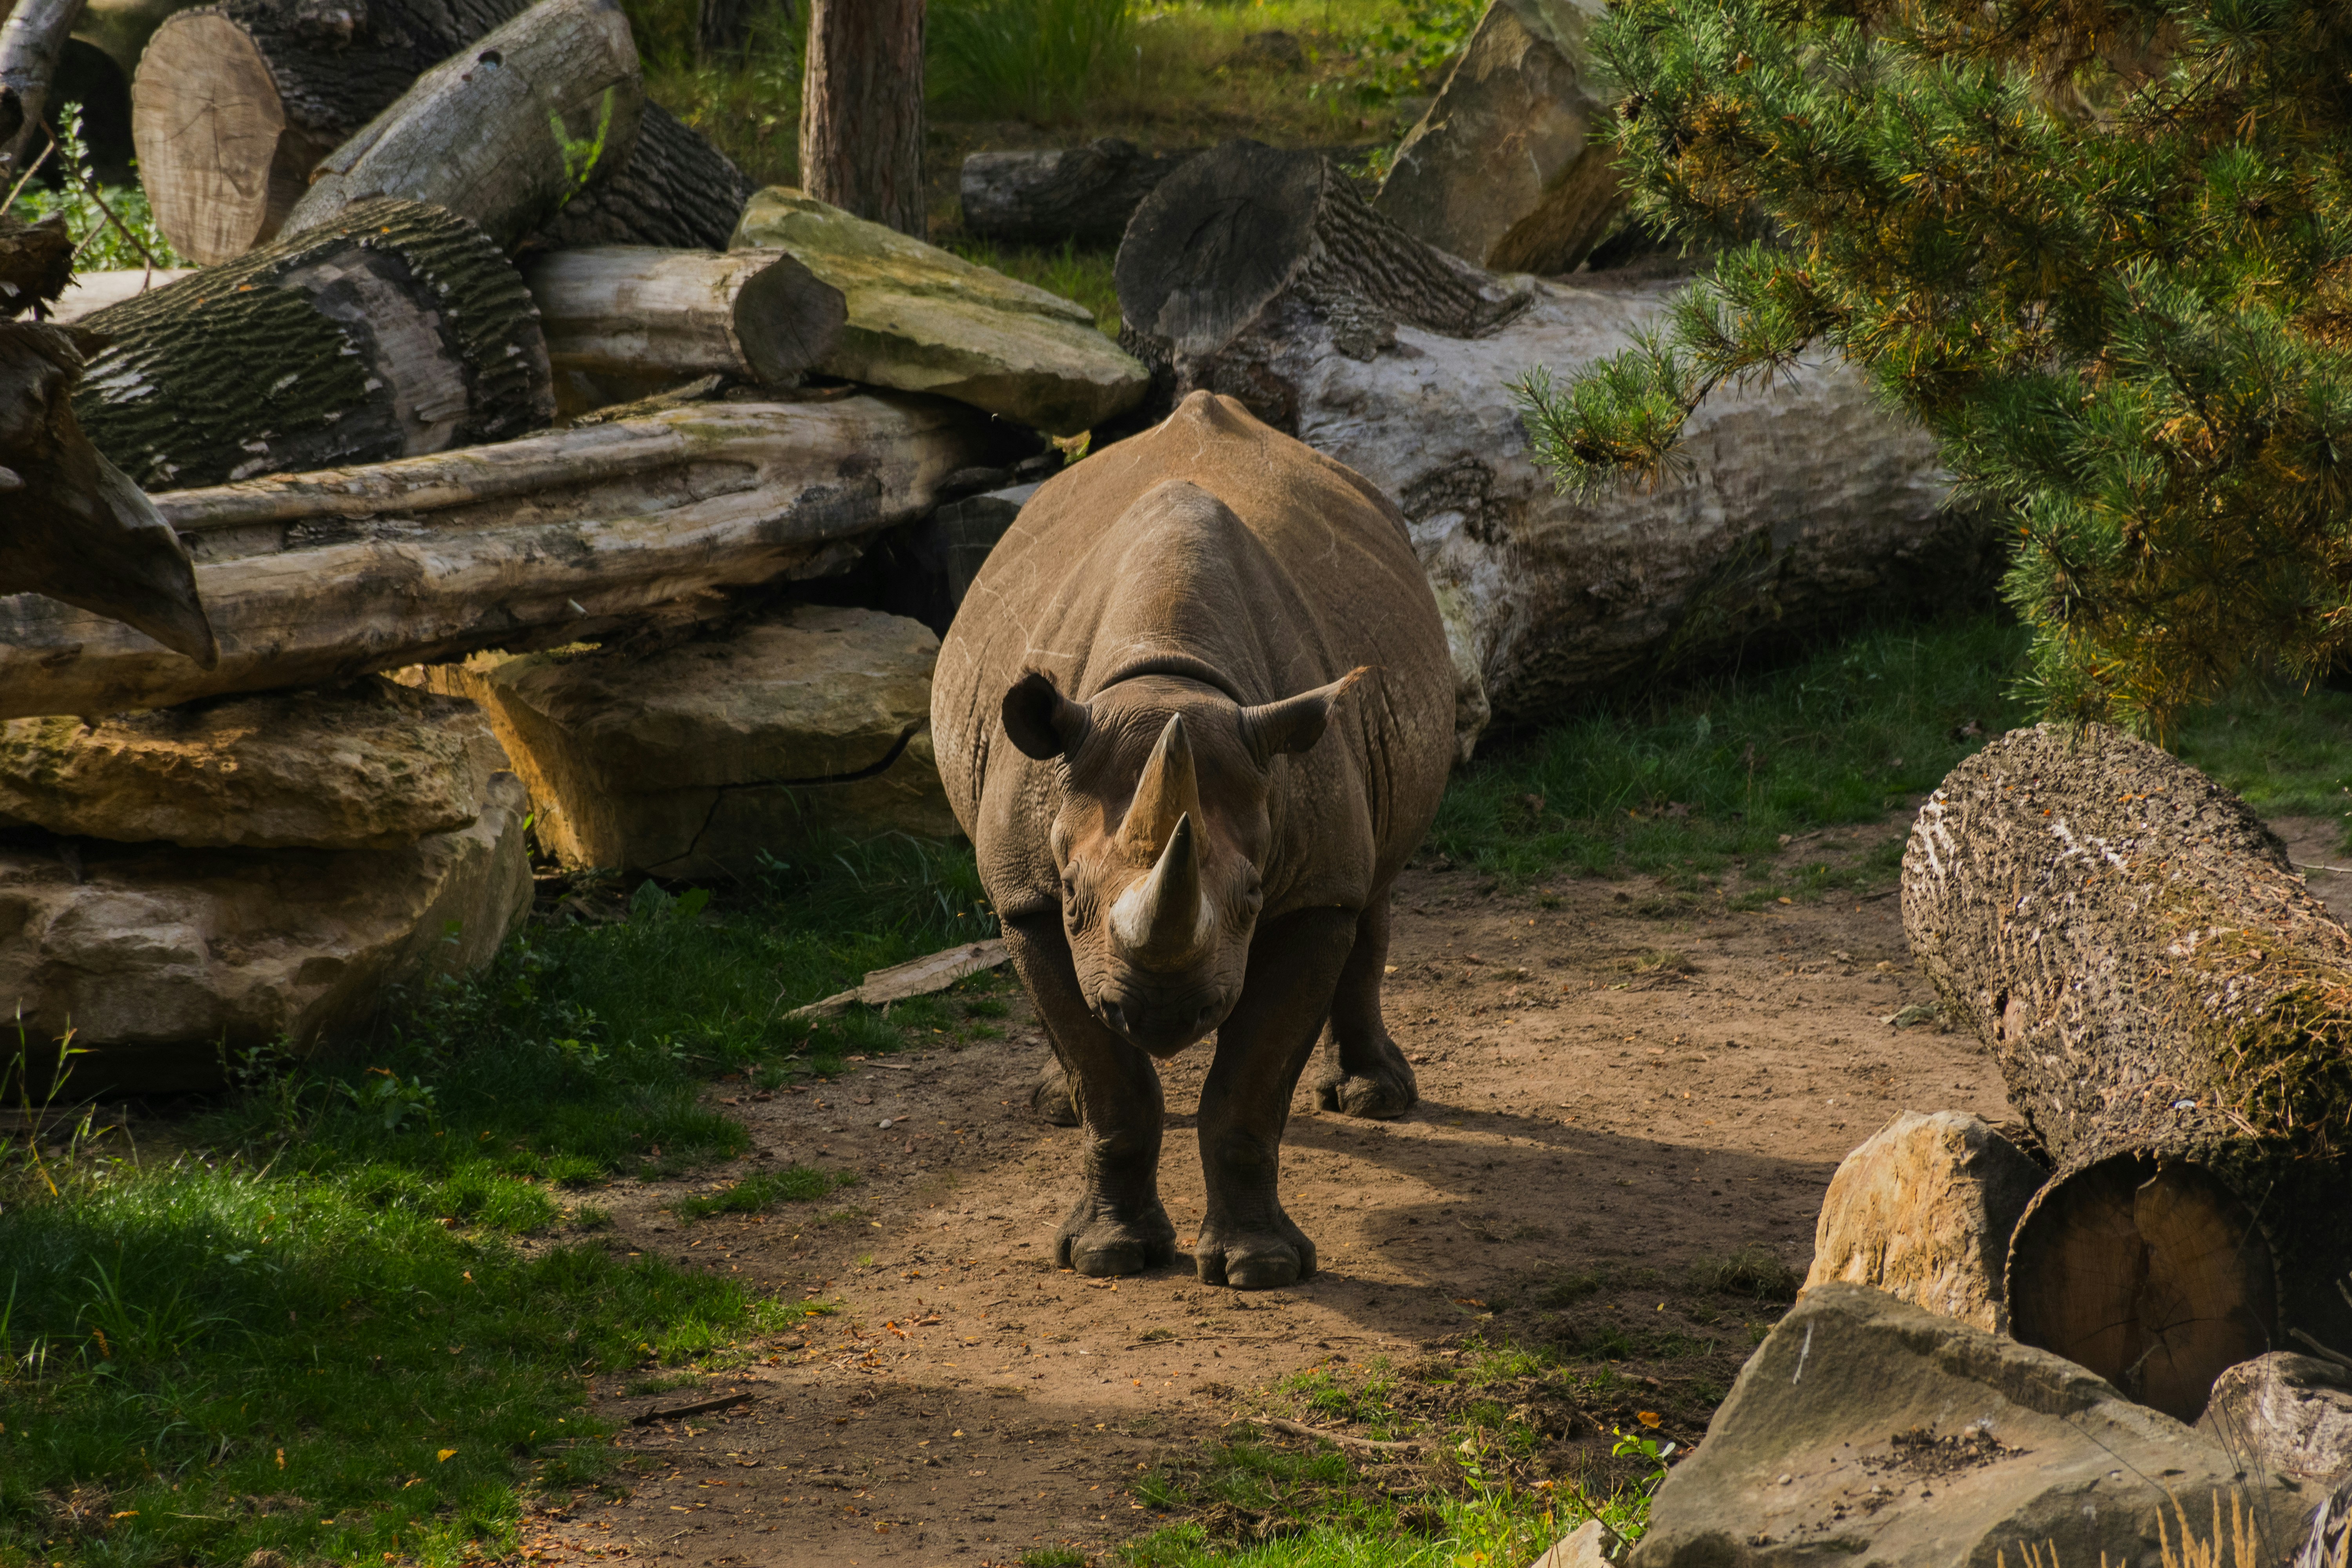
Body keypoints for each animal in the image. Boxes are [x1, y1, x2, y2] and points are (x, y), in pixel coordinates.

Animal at [931, 390, 1455, 1288]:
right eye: (1074, 899)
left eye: (1250, 899)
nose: (1162, 1012)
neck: (1165, 679)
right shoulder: (1027, 896)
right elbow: (1114, 1089)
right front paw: (1106, 1257)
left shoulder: (1310, 894)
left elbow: (1247, 1091)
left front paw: (1261, 1269)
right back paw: (1053, 1103)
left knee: (1376, 885)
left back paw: (1375, 1097)